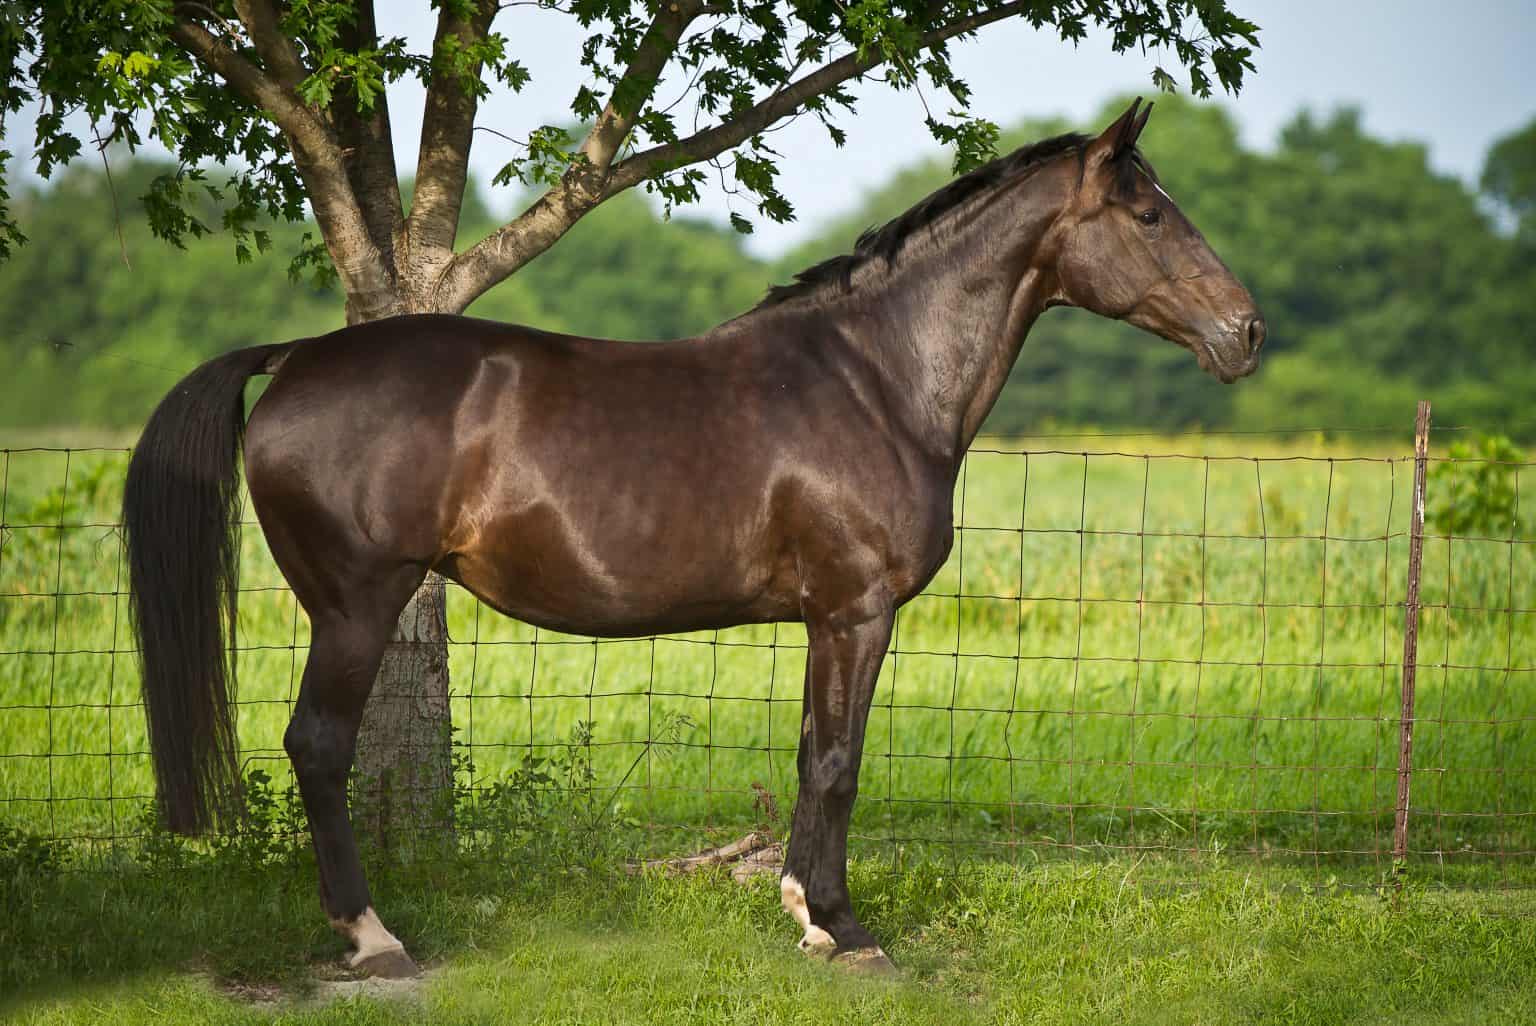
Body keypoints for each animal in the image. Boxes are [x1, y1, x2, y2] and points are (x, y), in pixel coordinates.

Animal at [122, 99, 1263, 977]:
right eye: (1150, 214)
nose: (1247, 333)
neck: (877, 378)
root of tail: (299, 356)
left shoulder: (823, 621)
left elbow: (808, 754)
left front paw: (804, 909)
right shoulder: (857, 612)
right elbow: (839, 763)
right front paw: (845, 931)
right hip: (356, 606)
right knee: (317, 748)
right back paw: (374, 939)